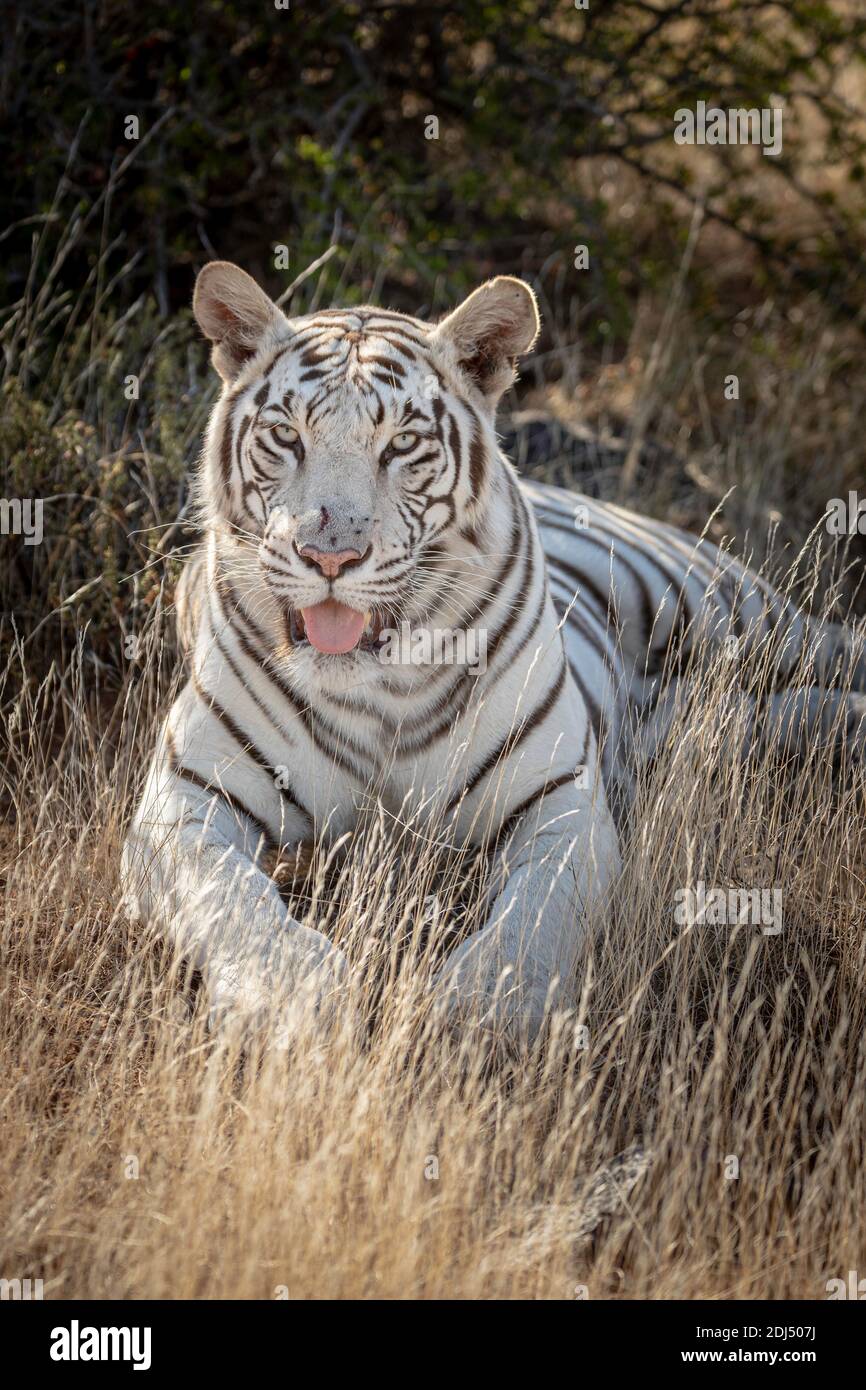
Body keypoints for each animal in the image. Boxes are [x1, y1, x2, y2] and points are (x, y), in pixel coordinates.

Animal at [120, 261, 866, 1051]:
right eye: (287, 436)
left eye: (400, 444)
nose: (330, 555)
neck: (376, 687)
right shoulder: (188, 799)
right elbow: (234, 900)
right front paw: (289, 1004)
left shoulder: (561, 805)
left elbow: (532, 920)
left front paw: (481, 1018)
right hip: (714, 717)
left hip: (737, 610)